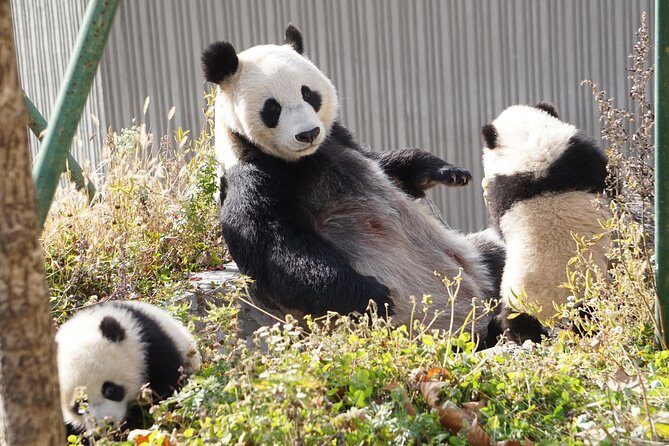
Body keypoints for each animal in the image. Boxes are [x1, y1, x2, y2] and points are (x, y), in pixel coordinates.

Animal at [201, 25, 503, 339]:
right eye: (272, 108)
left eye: (308, 93)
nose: (308, 133)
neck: (301, 160)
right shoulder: (253, 176)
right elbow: (276, 248)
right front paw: (376, 296)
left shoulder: (339, 141)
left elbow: (386, 165)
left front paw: (448, 172)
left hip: (474, 253)